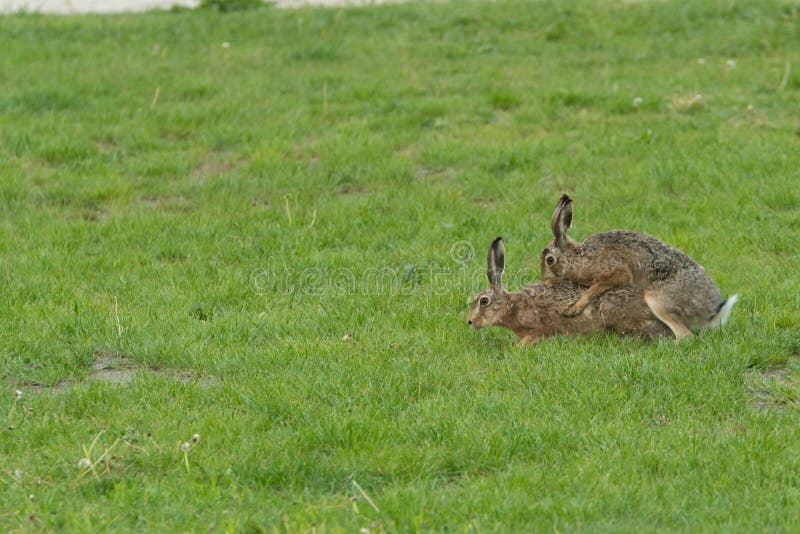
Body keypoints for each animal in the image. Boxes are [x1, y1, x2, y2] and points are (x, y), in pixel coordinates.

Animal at [540, 194, 738, 339]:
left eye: (550, 260)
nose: (544, 282)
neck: (577, 258)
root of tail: (709, 309)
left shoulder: (615, 272)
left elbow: (595, 288)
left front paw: (573, 309)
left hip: (658, 300)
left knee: (685, 336)